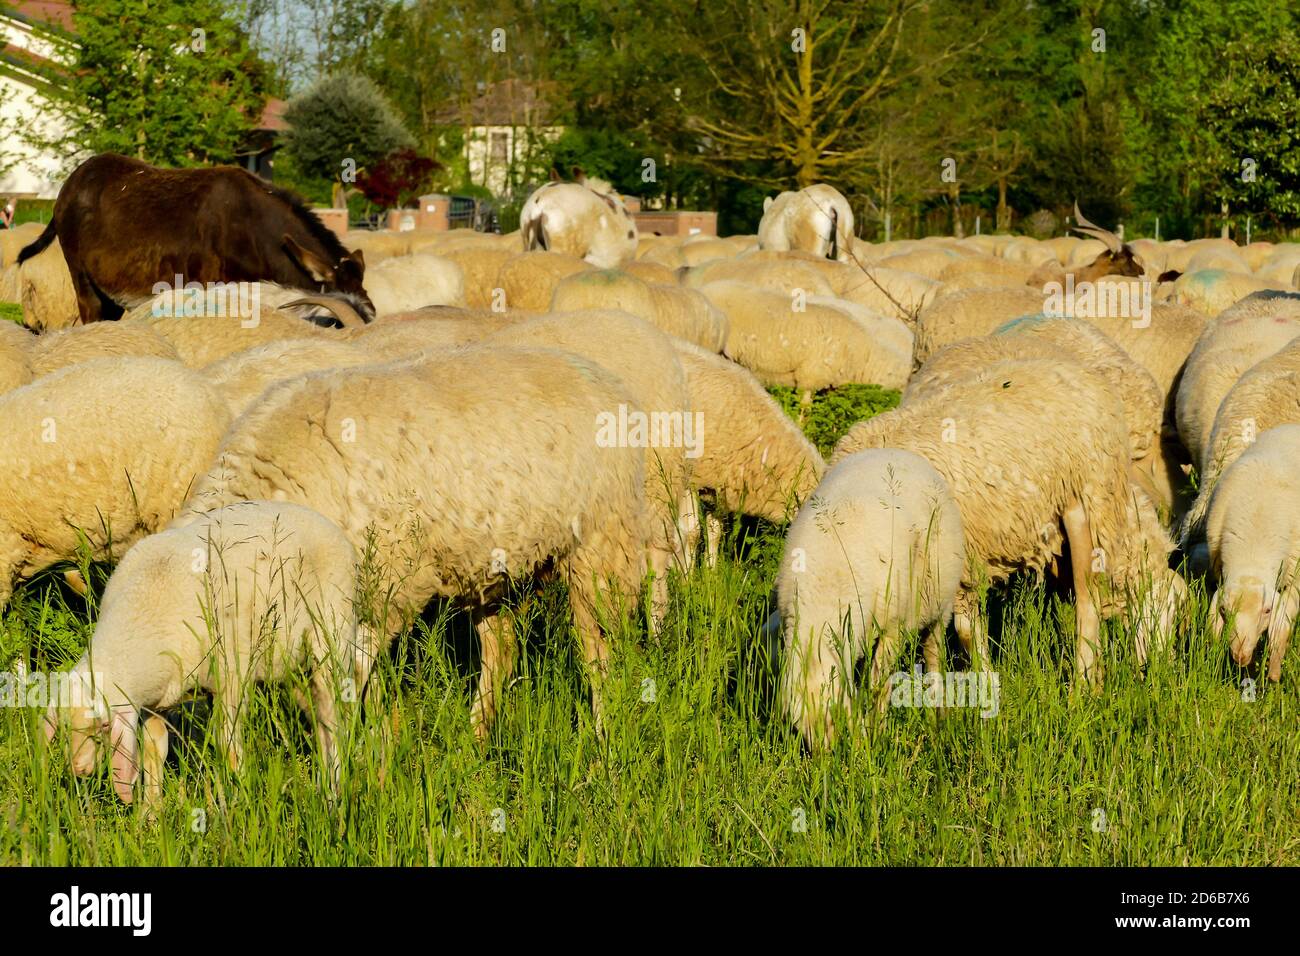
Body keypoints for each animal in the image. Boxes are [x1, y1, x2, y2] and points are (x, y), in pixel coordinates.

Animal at [44, 500, 369, 805]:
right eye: (63, 725)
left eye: (104, 724)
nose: (78, 769)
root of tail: (324, 520)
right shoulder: (154, 704)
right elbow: (153, 751)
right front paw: (151, 812)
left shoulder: (232, 682)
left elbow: (229, 748)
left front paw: (236, 800)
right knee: (318, 715)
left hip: (332, 638)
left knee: (332, 716)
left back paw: (334, 790)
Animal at [178, 344, 654, 734]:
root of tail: (601, 375)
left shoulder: (384, 588)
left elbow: (352, 677)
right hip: (494, 565)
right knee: (502, 649)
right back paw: (475, 738)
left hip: (601, 542)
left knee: (601, 650)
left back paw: (604, 740)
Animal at [776, 449, 965, 749]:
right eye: (799, 728)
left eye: (836, 718)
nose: (826, 756)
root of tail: (895, 451)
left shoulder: (894, 627)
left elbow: (878, 682)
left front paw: (878, 728)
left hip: (939, 602)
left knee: (934, 652)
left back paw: (938, 711)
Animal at [832, 357, 1185, 685]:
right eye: (1169, 610)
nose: (1161, 670)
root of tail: (1077, 371)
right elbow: (962, 628)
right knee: (1089, 597)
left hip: (1084, 496)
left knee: (1088, 597)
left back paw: (1082, 685)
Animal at [1206, 424, 1300, 681]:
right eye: (1224, 610)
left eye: (1267, 610)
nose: (1240, 656)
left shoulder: (1296, 577)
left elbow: (1283, 624)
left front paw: (1273, 674)